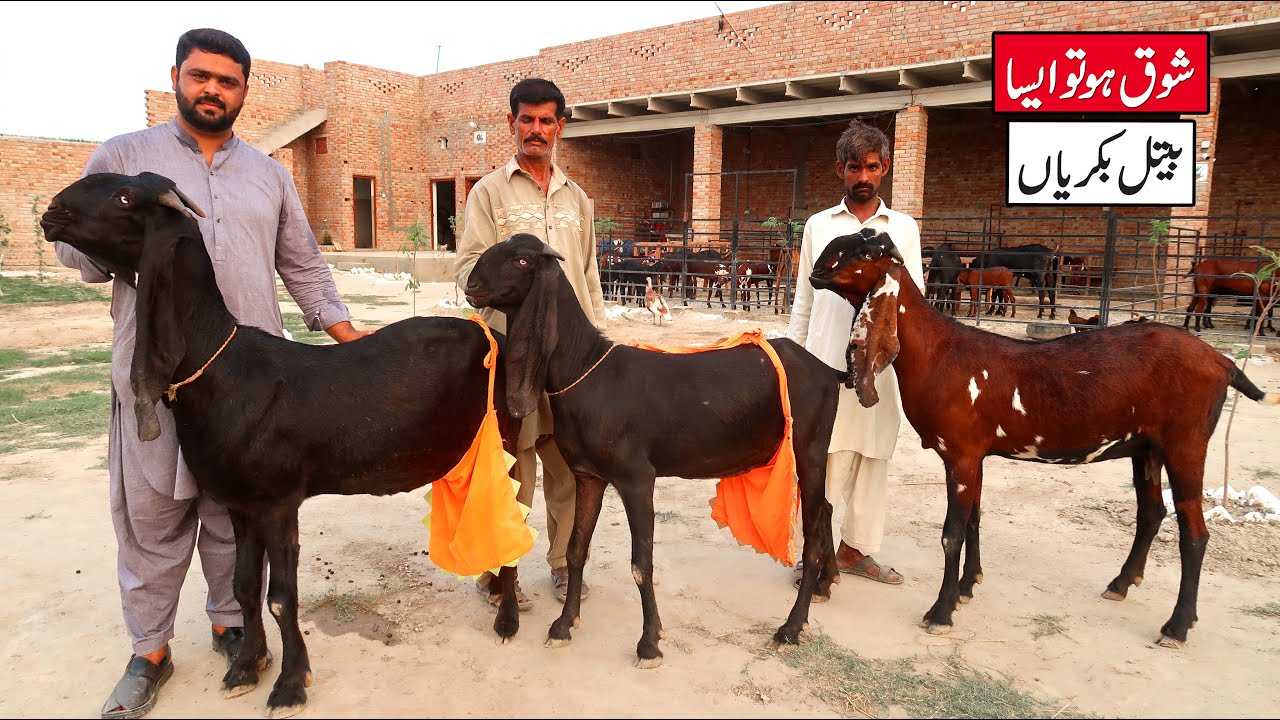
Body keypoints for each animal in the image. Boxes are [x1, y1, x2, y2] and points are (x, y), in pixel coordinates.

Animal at [464, 232, 841, 667]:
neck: (586, 370)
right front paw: (563, 625)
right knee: (826, 510)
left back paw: (791, 627)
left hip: (810, 450)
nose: (471, 284)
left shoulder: (636, 478)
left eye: (523, 260)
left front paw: (649, 643)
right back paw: (825, 585)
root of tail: (828, 371)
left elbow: (641, 564)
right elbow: (576, 550)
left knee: (812, 535)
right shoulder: (589, 475)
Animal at [808, 228, 1279, 649]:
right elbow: (976, 518)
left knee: (1194, 534)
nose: (815, 270)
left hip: (1186, 444)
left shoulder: (960, 454)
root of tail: (1221, 361)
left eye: (865, 252)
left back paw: (1176, 627)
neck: (942, 352)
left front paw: (941, 612)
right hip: (1147, 448)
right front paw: (967, 587)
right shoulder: (975, 455)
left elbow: (952, 533)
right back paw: (1121, 584)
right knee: (1151, 513)